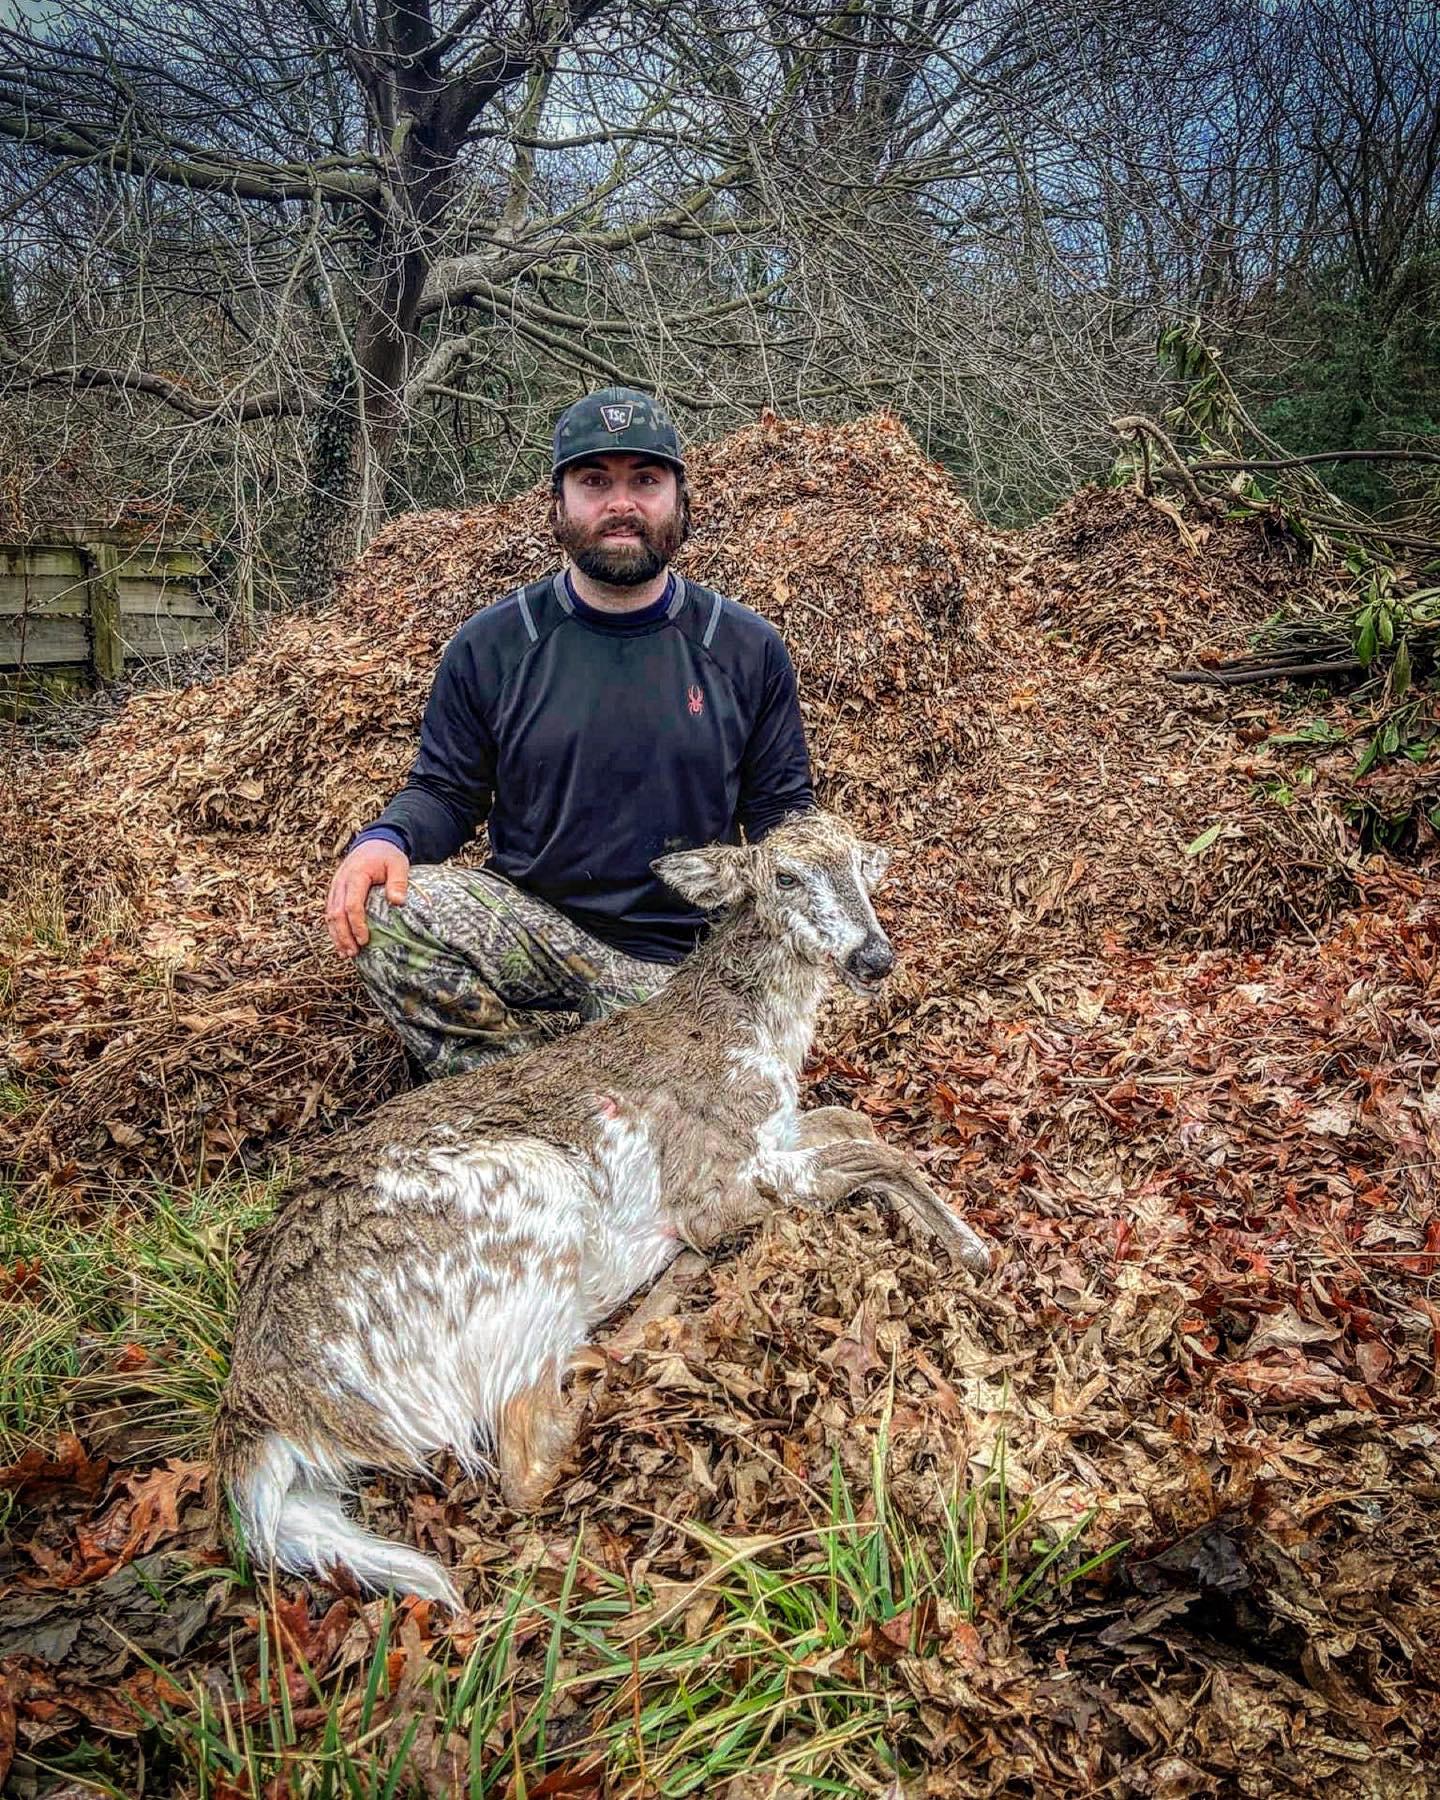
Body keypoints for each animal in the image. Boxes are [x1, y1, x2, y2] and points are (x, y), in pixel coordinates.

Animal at [213, 811, 991, 1607]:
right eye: (785, 876)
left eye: (863, 865)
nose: (875, 956)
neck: (758, 1039)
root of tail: (271, 1409)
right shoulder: (709, 1178)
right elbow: (873, 1154)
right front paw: (970, 1246)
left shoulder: (774, 1129)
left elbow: (856, 1124)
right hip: (530, 1197)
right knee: (528, 1457)